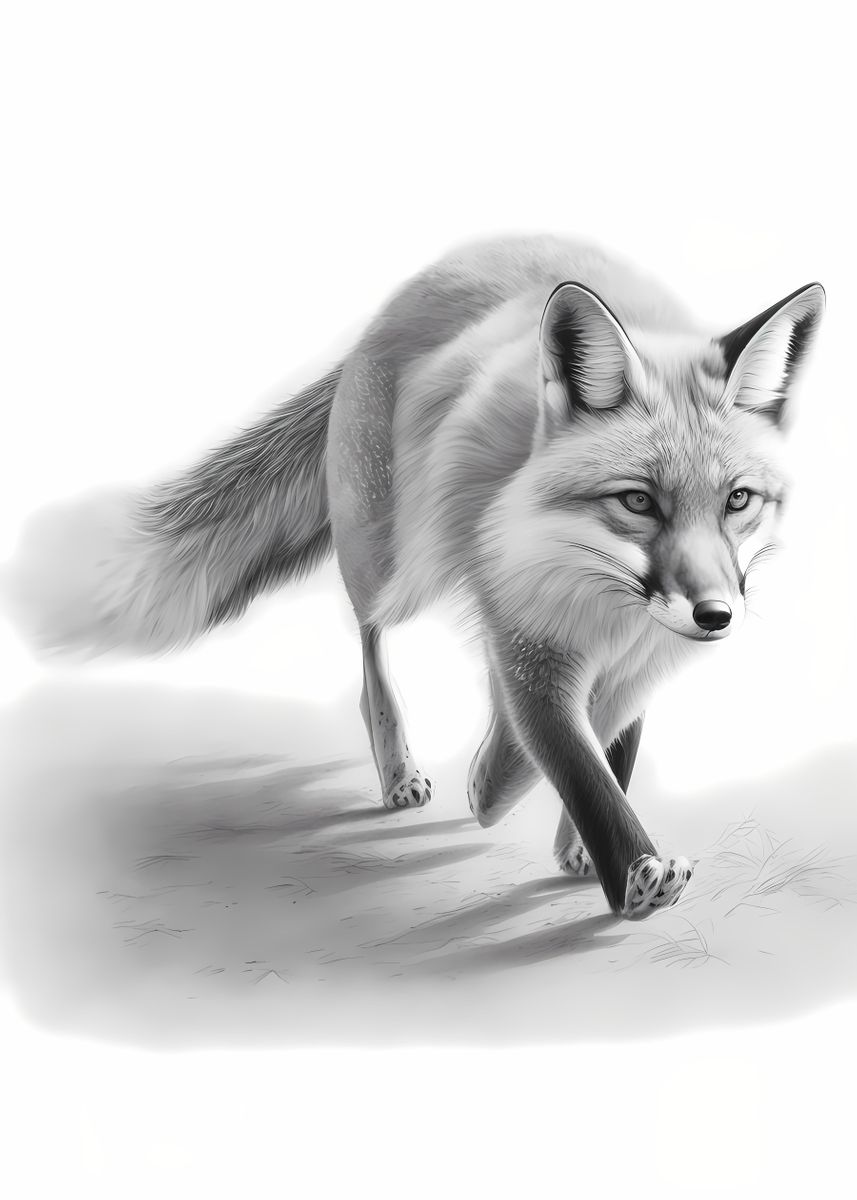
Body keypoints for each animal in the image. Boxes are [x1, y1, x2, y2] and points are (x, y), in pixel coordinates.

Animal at [3, 235, 825, 920]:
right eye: (638, 502)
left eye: (738, 501)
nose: (713, 615)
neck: (605, 606)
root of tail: (404, 296)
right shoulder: (533, 649)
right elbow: (569, 765)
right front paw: (608, 859)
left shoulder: (639, 663)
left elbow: (610, 749)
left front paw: (579, 848)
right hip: (390, 566)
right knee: (370, 647)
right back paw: (399, 768)